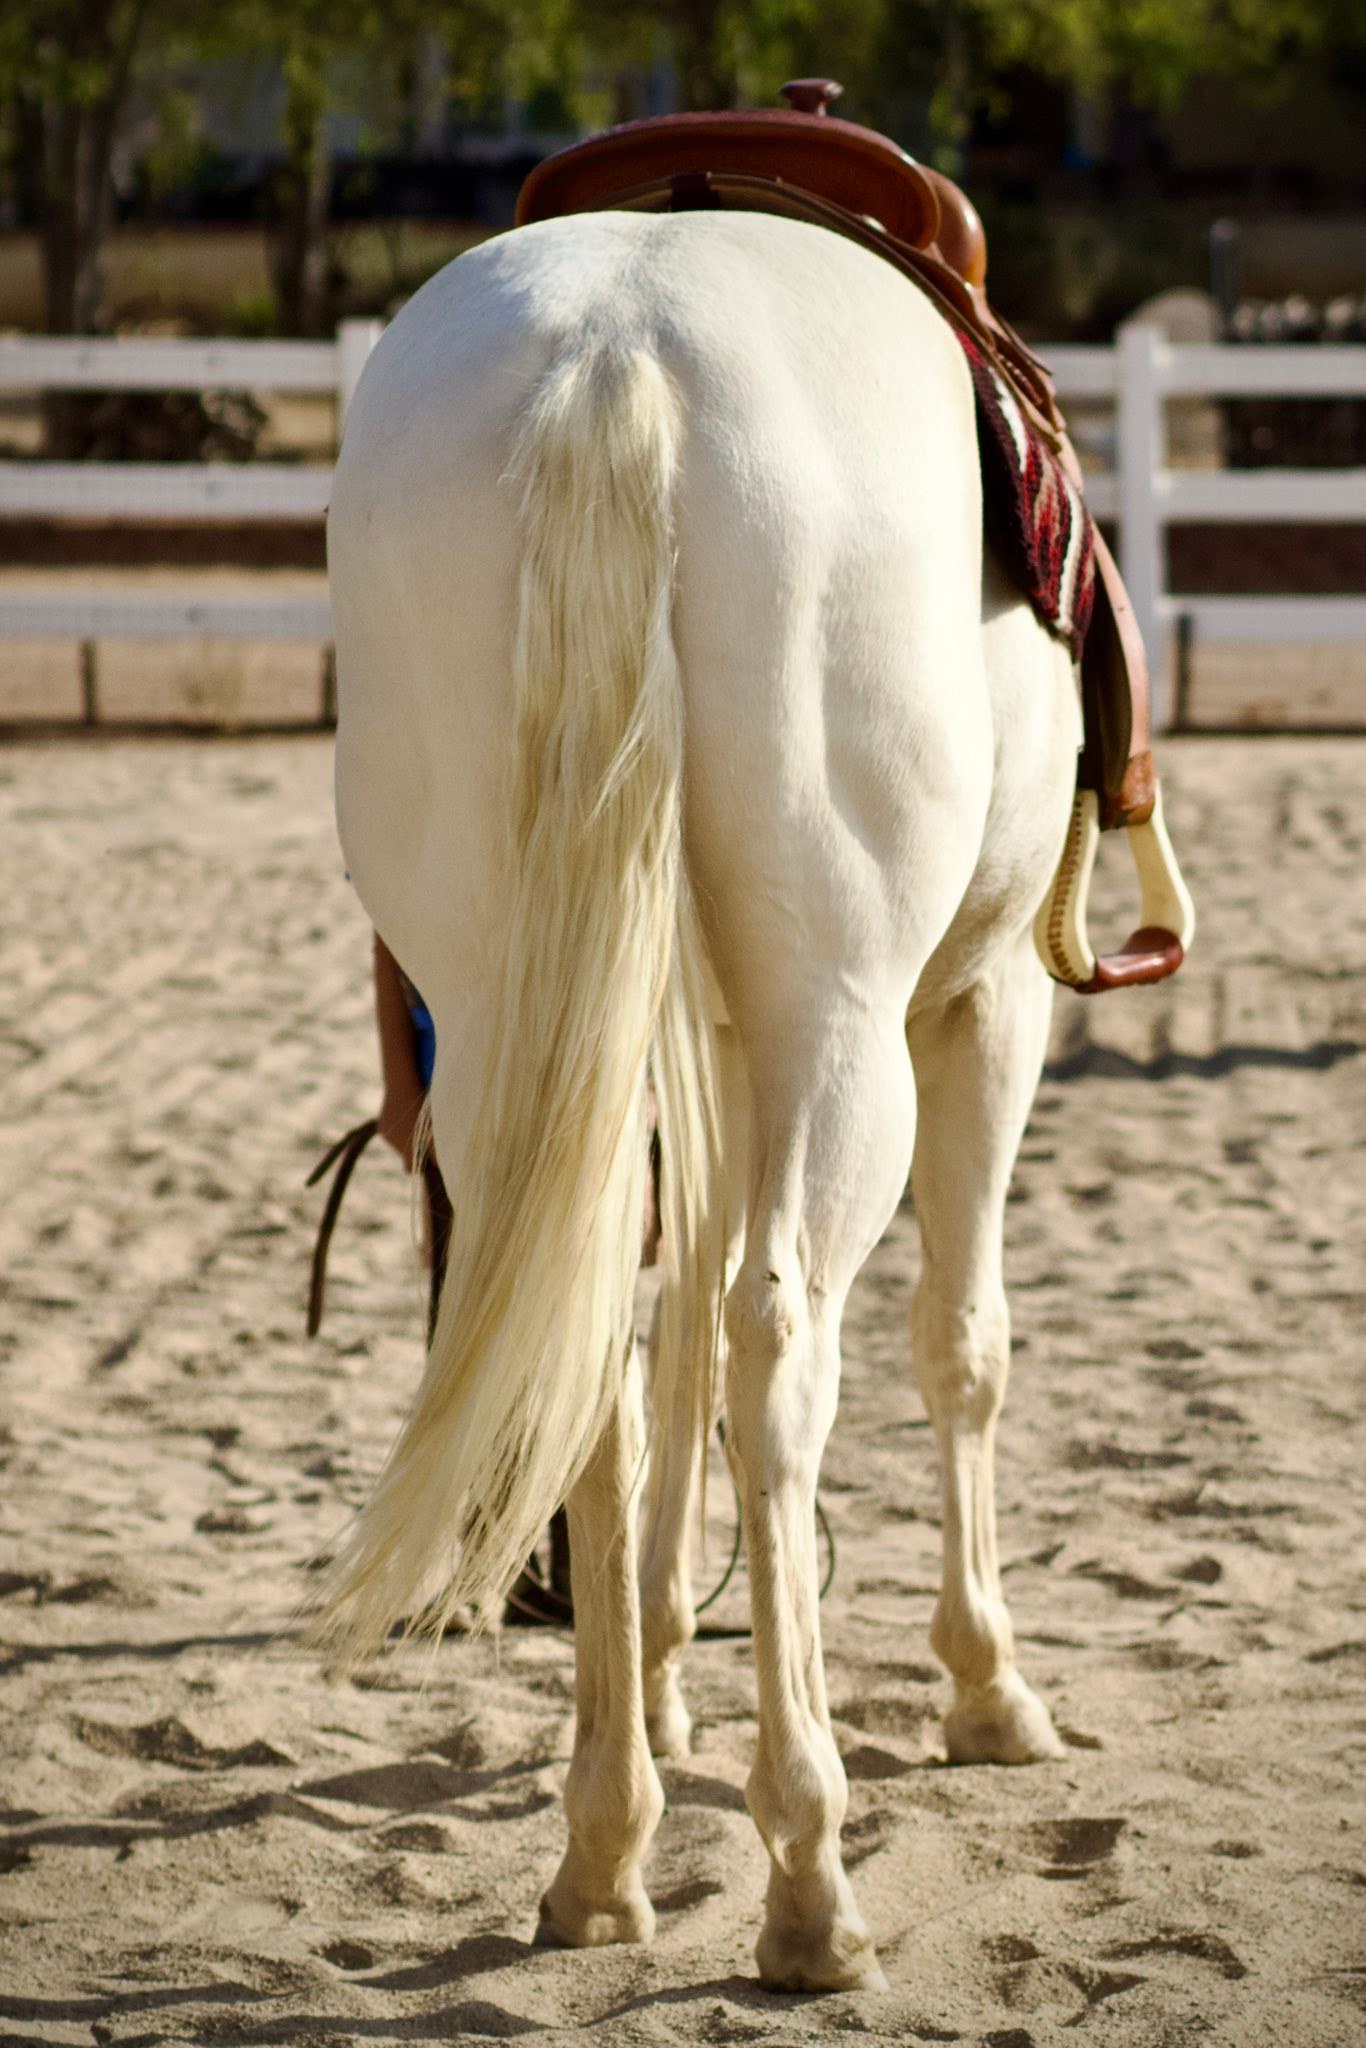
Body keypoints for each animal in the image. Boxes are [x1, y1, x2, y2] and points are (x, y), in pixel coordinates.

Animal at [318, 202, 1090, 1994]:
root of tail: (619, 347)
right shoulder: (983, 1003)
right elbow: (959, 1346)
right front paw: (985, 1684)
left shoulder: (704, 1044)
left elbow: (662, 1355)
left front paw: (663, 1665)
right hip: (847, 1027)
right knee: (778, 1348)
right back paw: (806, 1874)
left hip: (510, 1019)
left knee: (602, 1360)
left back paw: (605, 1848)